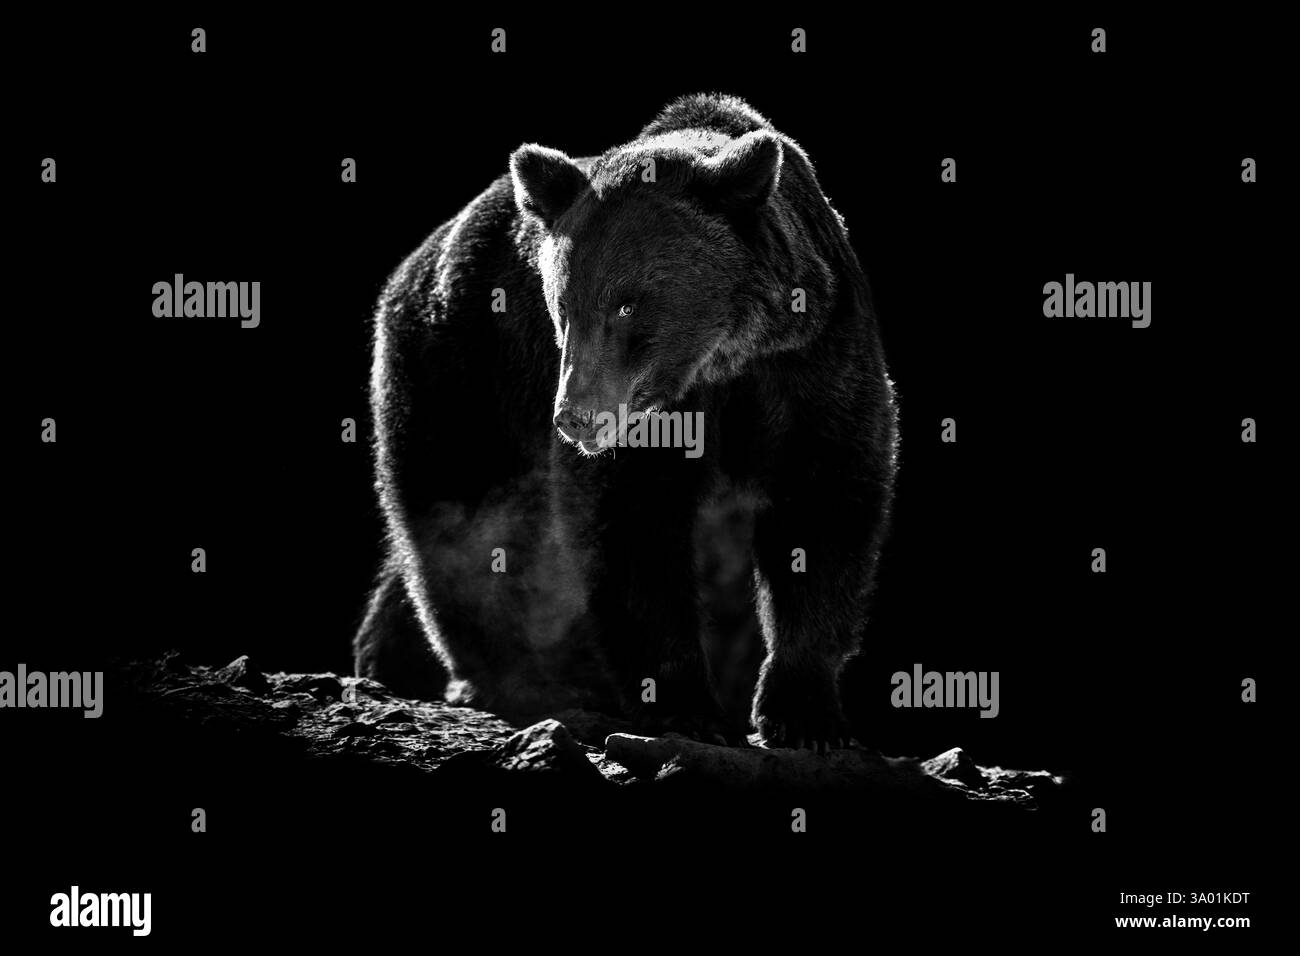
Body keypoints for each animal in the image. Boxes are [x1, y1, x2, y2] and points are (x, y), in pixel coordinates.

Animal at [354, 93, 898, 750]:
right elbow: (631, 529)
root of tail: (411, 266)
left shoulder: (814, 362)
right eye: (563, 303)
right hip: (463, 368)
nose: (576, 417)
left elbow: (823, 508)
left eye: (627, 303)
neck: (720, 360)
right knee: (461, 523)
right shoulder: (644, 420)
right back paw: (511, 678)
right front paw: (687, 708)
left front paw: (806, 715)